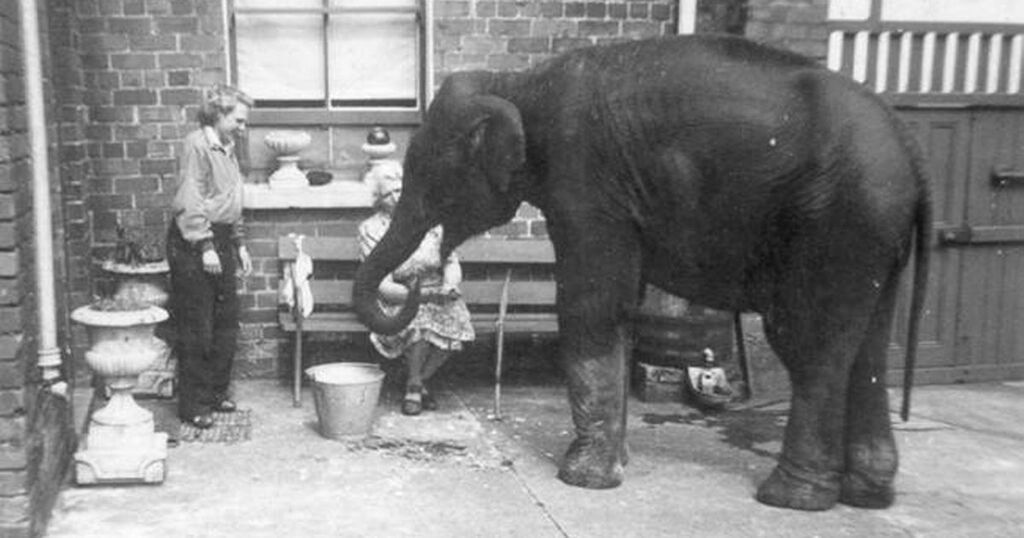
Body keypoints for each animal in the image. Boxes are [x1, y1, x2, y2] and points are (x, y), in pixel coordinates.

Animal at [353, 34, 931, 511]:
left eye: (426, 173)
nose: (418, 279)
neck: (517, 84)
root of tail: (910, 148)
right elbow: (622, 305)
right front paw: (615, 463)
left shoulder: (584, 181)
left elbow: (590, 302)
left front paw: (582, 479)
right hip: (874, 234)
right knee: (868, 347)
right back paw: (869, 494)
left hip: (837, 222)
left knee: (808, 343)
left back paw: (792, 498)